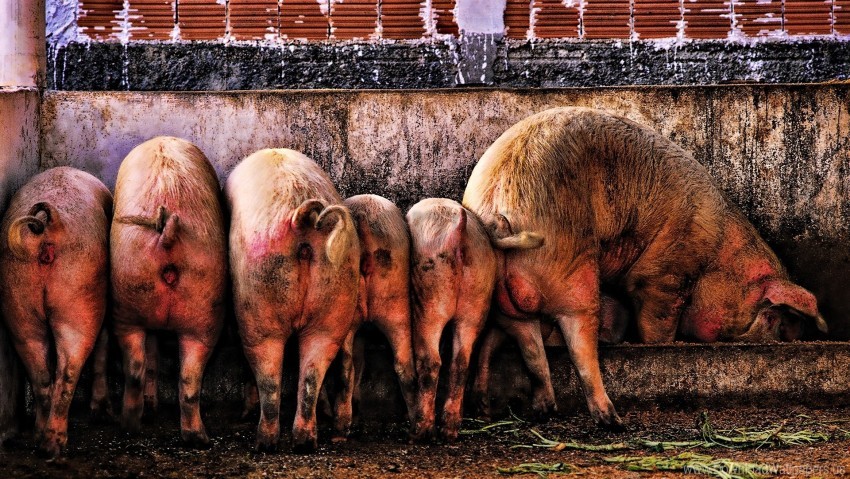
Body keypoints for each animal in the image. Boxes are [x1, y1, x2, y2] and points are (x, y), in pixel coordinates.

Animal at [0, 167, 112, 457]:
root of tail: (50, 225)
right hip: (80, 293)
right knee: (70, 368)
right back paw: (55, 445)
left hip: (17, 298)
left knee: (40, 371)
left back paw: (41, 439)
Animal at [111, 137, 227, 447]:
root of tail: (167, 238)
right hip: (200, 305)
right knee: (182, 377)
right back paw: (195, 437)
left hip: (128, 299)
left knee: (140, 367)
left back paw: (134, 426)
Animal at [226, 148, 360, 453]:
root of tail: (302, 218)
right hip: (334, 301)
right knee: (314, 371)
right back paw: (305, 442)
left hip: (258, 300)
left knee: (268, 373)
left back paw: (264, 442)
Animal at [406, 198, 497, 442]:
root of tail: (459, 231)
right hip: (478, 295)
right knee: (460, 362)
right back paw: (450, 431)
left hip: (430, 290)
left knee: (431, 360)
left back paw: (420, 433)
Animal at [463, 107, 827, 428]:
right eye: (771, 317)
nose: (780, 342)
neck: (717, 255)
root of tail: (498, 208)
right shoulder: (665, 276)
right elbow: (657, 324)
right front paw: (663, 347)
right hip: (571, 269)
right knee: (579, 342)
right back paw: (612, 420)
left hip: (509, 299)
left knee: (523, 345)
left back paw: (514, 408)